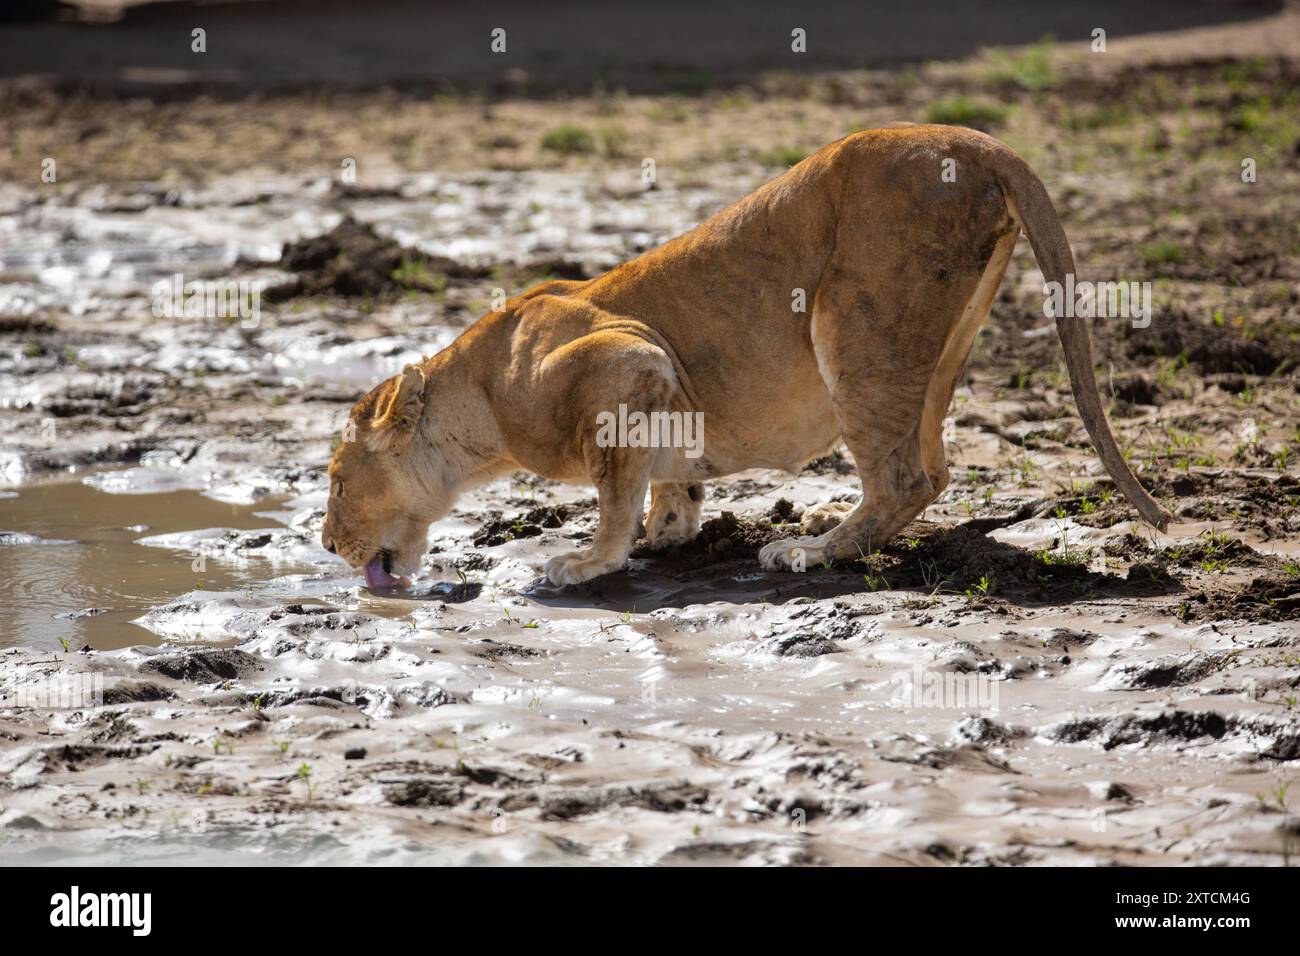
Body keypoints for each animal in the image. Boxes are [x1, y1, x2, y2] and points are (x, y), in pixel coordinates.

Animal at [320, 124, 1170, 589]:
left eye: (334, 481)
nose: (327, 545)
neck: (479, 398)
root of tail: (977, 139)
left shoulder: (627, 356)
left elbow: (612, 489)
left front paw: (590, 561)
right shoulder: (649, 385)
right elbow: (660, 482)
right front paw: (669, 528)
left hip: (854, 321)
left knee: (903, 475)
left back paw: (809, 549)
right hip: (940, 341)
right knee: (931, 466)